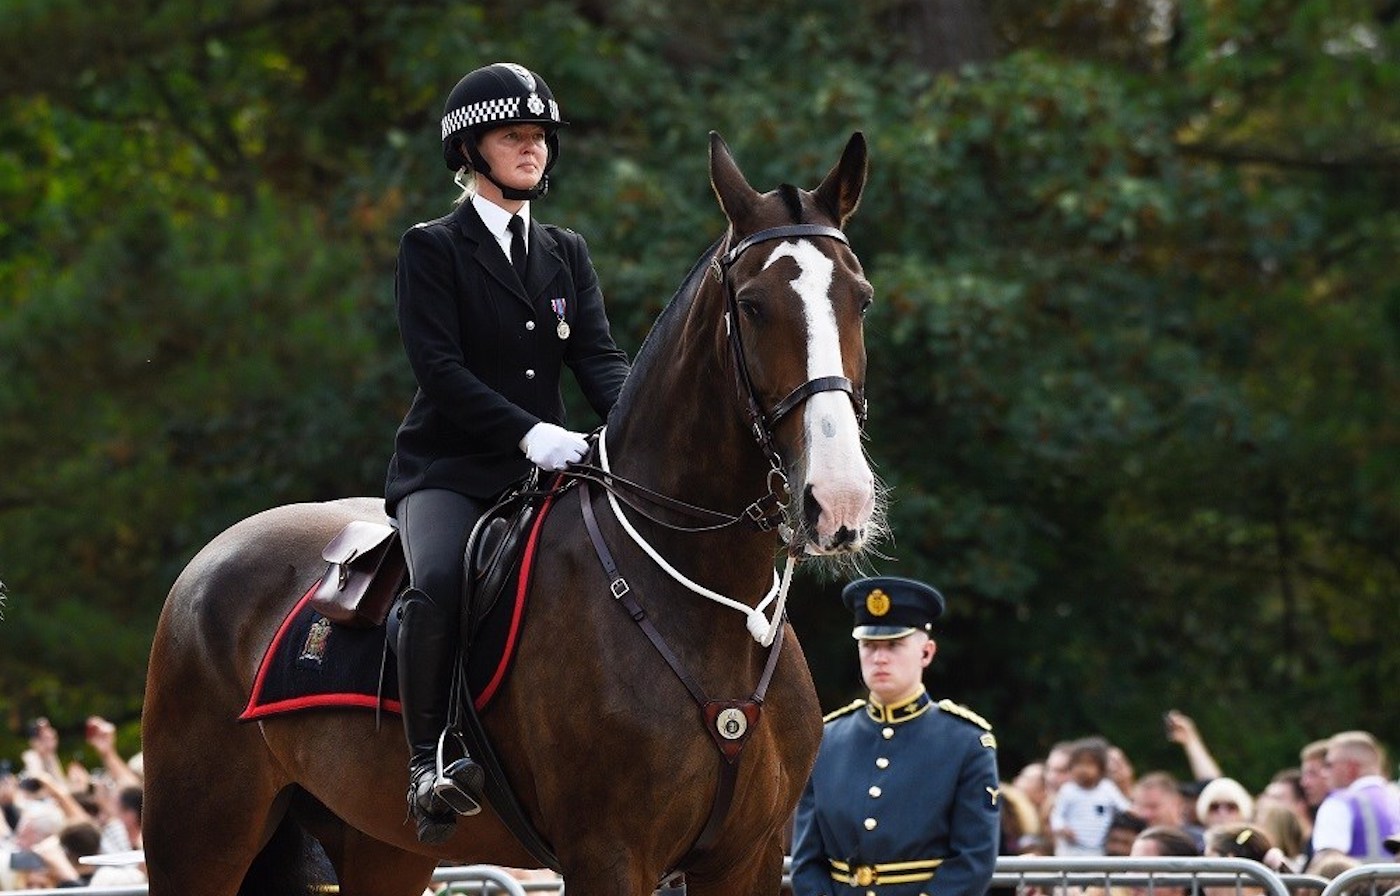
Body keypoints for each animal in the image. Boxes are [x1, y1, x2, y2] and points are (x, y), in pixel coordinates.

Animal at [142, 131, 880, 896]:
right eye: (756, 305)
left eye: (861, 301)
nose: (841, 501)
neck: (704, 603)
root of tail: (210, 561)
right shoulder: (607, 855)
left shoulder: (750, 857)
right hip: (199, 835)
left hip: (380, 845)